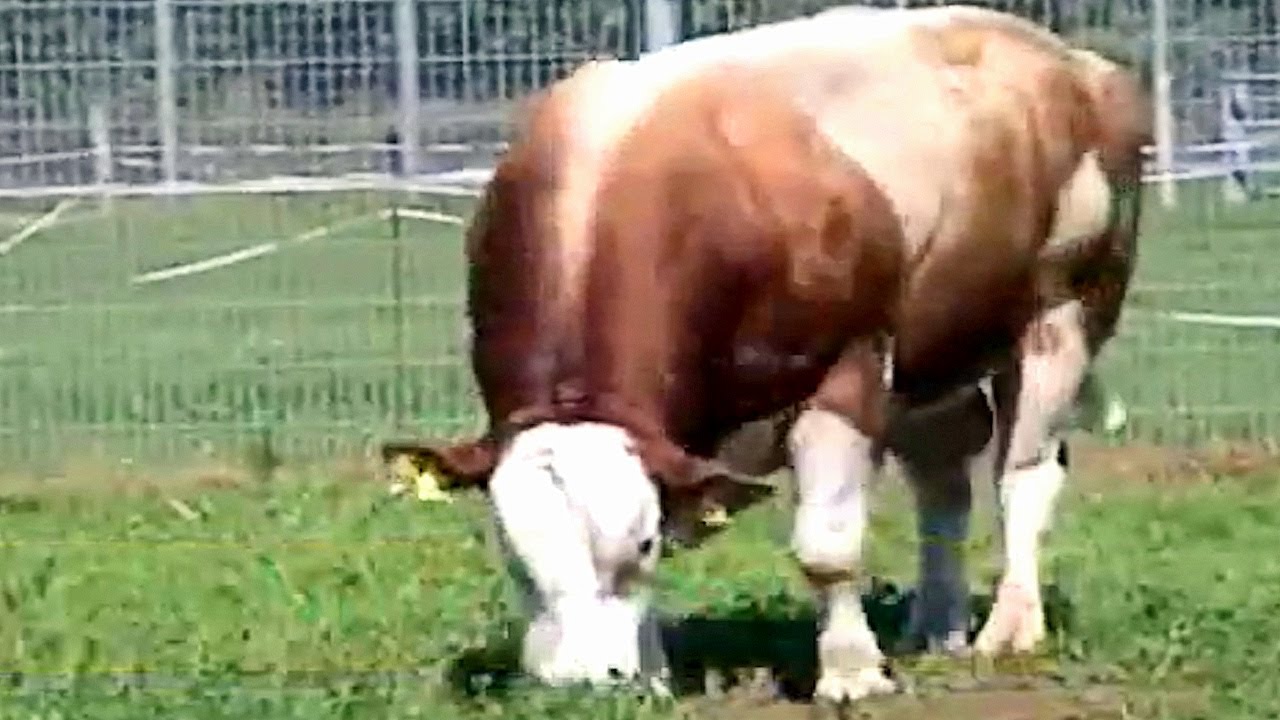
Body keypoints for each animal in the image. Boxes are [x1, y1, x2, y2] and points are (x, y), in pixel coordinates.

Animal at [381, 5, 1152, 705]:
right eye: (512, 550)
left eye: (640, 547)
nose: (582, 683)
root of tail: (1075, 64)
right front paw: (653, 676)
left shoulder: (847, 371)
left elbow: (827, 546)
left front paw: (851, 674)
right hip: (933, 347)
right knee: (944, 477)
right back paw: (937, 625)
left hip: (1064, 310)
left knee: (1024, 475)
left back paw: (1011, 628)